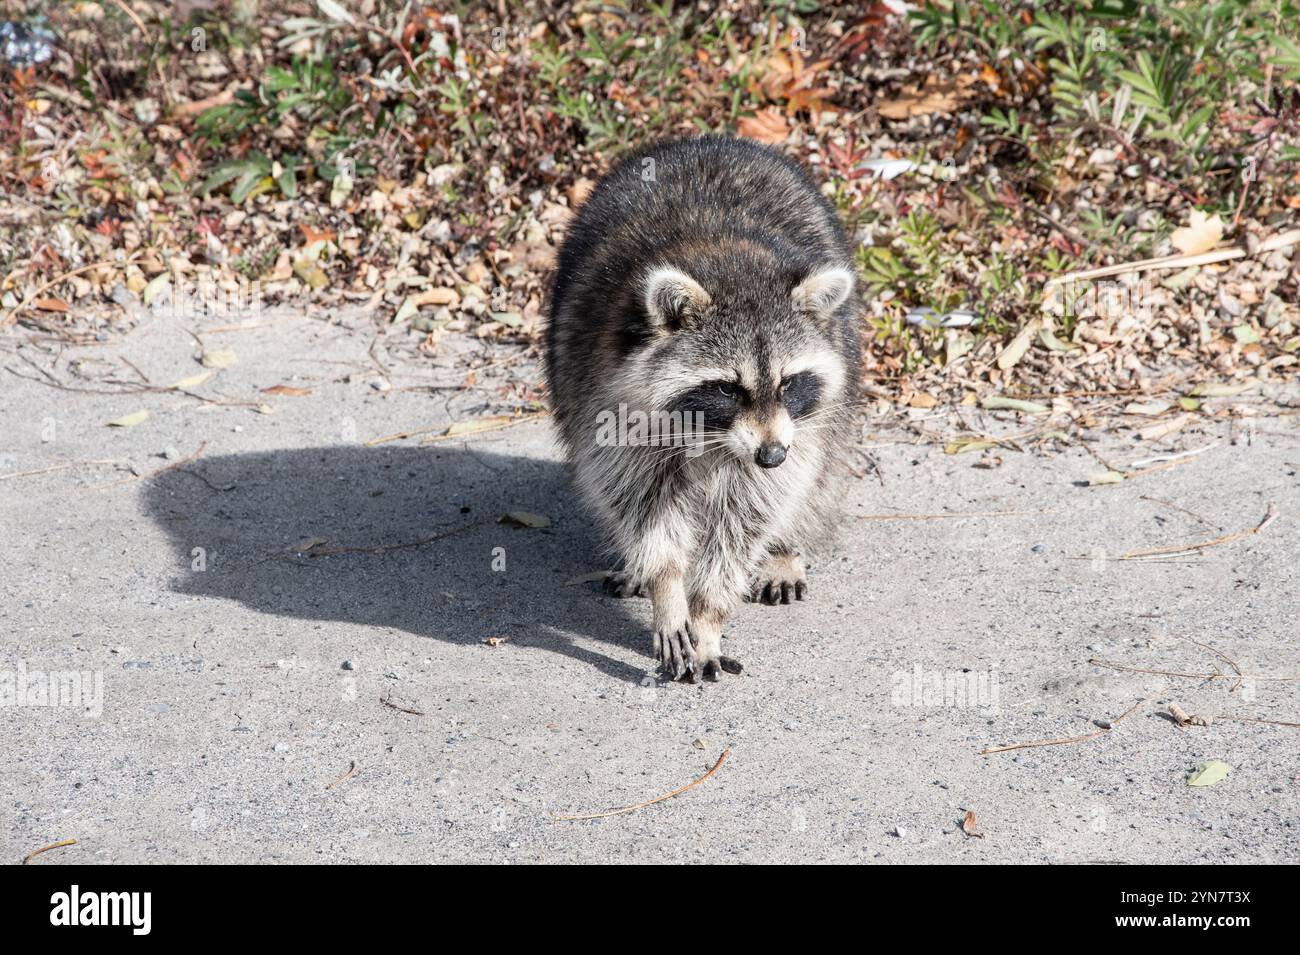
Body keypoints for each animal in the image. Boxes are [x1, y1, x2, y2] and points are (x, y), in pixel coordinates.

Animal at [546, 135, 861, 682]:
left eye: (789, 383)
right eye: (729, 389)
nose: (771, 455)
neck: (725, 252)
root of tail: (710, 140)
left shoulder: (789, 433)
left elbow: (750, 515)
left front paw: (709, 614)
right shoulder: (607, 402)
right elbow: (641, 503)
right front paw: (667, 590)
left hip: (829, 400)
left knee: (813, 477)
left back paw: (783, 550)